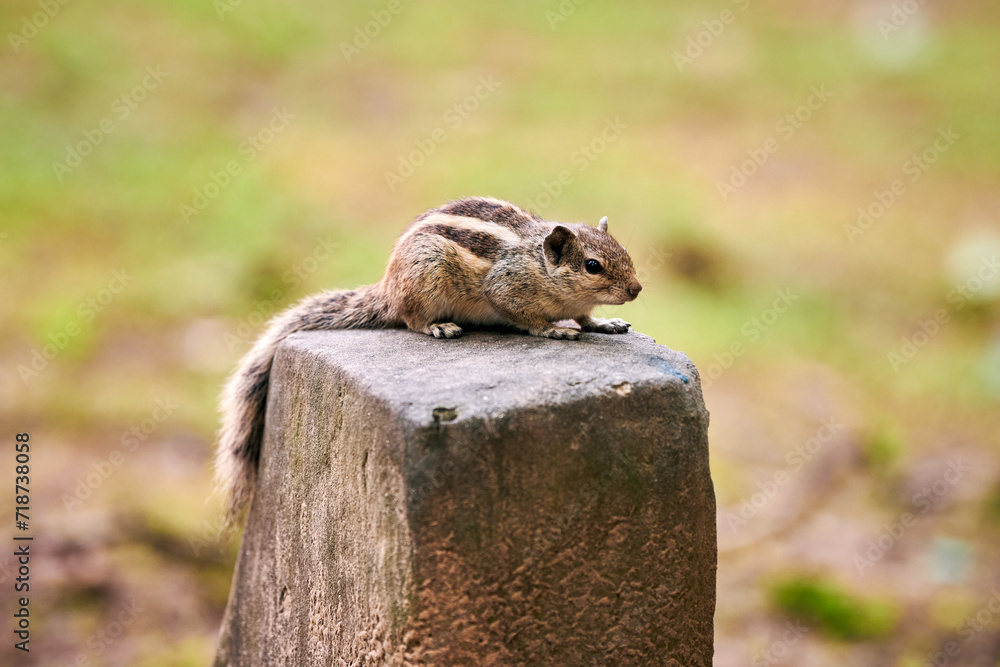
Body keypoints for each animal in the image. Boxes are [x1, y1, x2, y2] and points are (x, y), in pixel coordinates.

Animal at [215, 196, 643, 525]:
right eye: (592, 265)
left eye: (625, 254)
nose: (637, 289)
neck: (539, 264)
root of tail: (388, 288)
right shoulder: (505, 290)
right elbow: (527, 318)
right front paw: (554, 330)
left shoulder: (577, 305)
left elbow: (586, 318)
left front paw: (604, 324)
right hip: (425, 283)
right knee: (411, 320)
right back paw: (439, 327)